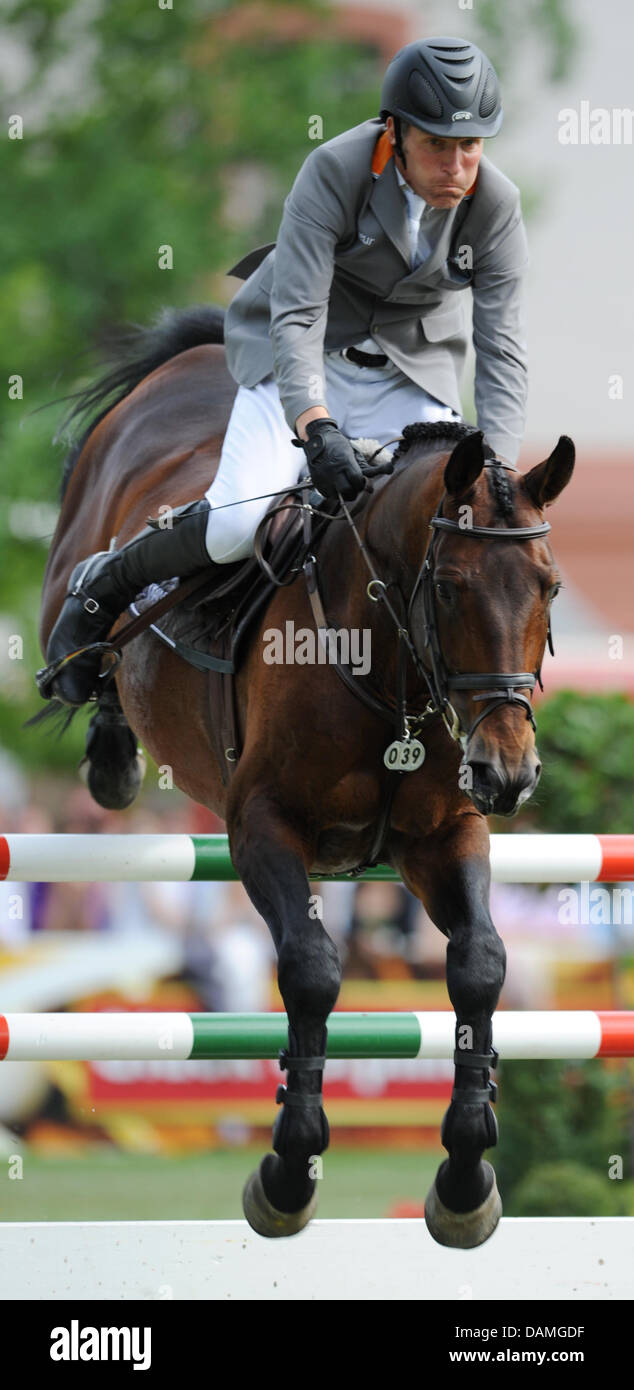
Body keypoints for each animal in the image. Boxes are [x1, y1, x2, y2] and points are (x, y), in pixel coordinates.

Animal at [38, 306, 575, 1246]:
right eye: (449, 586)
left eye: (547, 587)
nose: (507, 773)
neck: (392, 671)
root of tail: (195, 360)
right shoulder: (263, 825)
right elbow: (313, 972)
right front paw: (288, 1173)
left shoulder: (444, 835)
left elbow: (480, 963)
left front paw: (465, 1180)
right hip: (79, 567)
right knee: (113, 607)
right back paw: (100, 700)